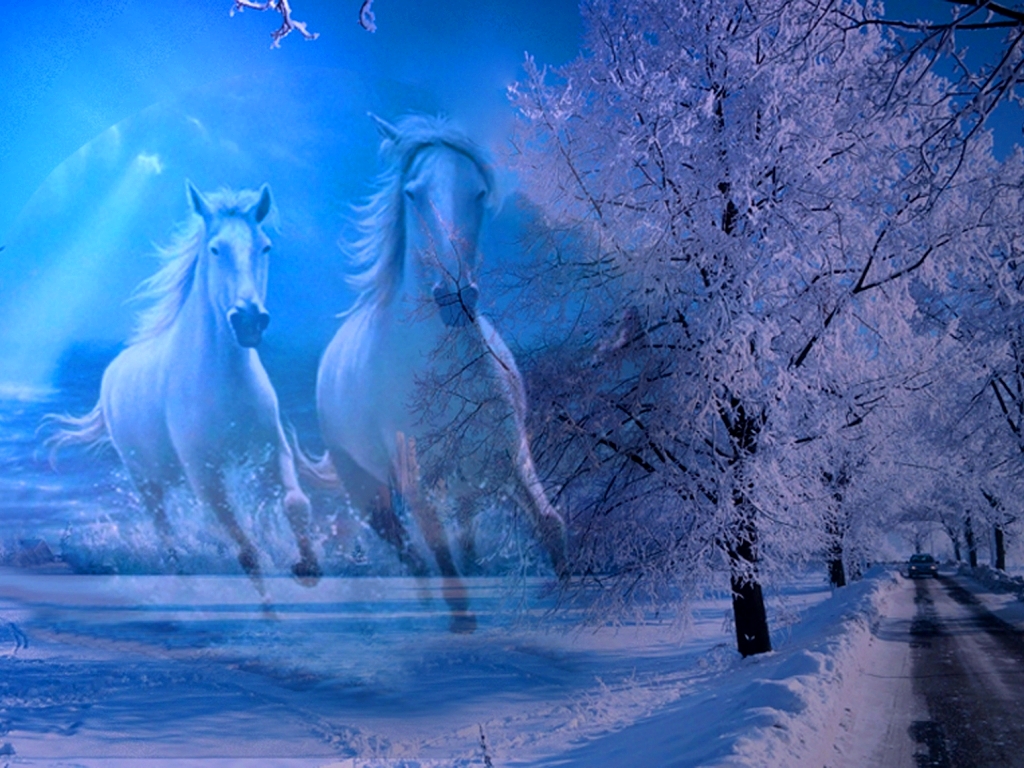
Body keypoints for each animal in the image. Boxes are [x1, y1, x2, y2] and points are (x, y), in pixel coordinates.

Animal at [48, 182, 321, 599]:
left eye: (265, 247)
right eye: (215, 249)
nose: (249, 320)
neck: (223, 382)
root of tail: (113, 369)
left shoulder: (272, 450)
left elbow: (296, 502)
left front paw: (307, 566)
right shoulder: (205, 474)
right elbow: (247, 554)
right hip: (145, 480)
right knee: (164, 530)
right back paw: (182, 578)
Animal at [312, 115, 567, 632]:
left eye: (478, 192)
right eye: (413, 192)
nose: (456, 297)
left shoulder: (512, 455)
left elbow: (550, 525)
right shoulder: (416, 479)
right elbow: (442, 560)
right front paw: (461, 625)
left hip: (467, 480)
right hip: (367, 490)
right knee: (409, 554)